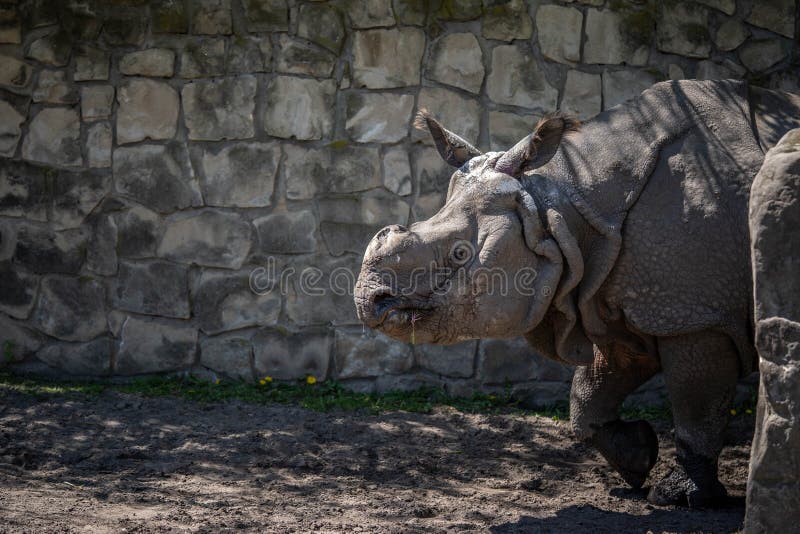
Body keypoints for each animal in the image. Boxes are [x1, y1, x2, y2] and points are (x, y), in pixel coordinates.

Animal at [354, 79, 800, 507]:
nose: (369, 301)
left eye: (461, 253)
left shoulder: (695, 317)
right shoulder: (623, 301)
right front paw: (638, 456)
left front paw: (679, 496)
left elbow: (697, 404)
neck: (562, 212)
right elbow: (588, 395)